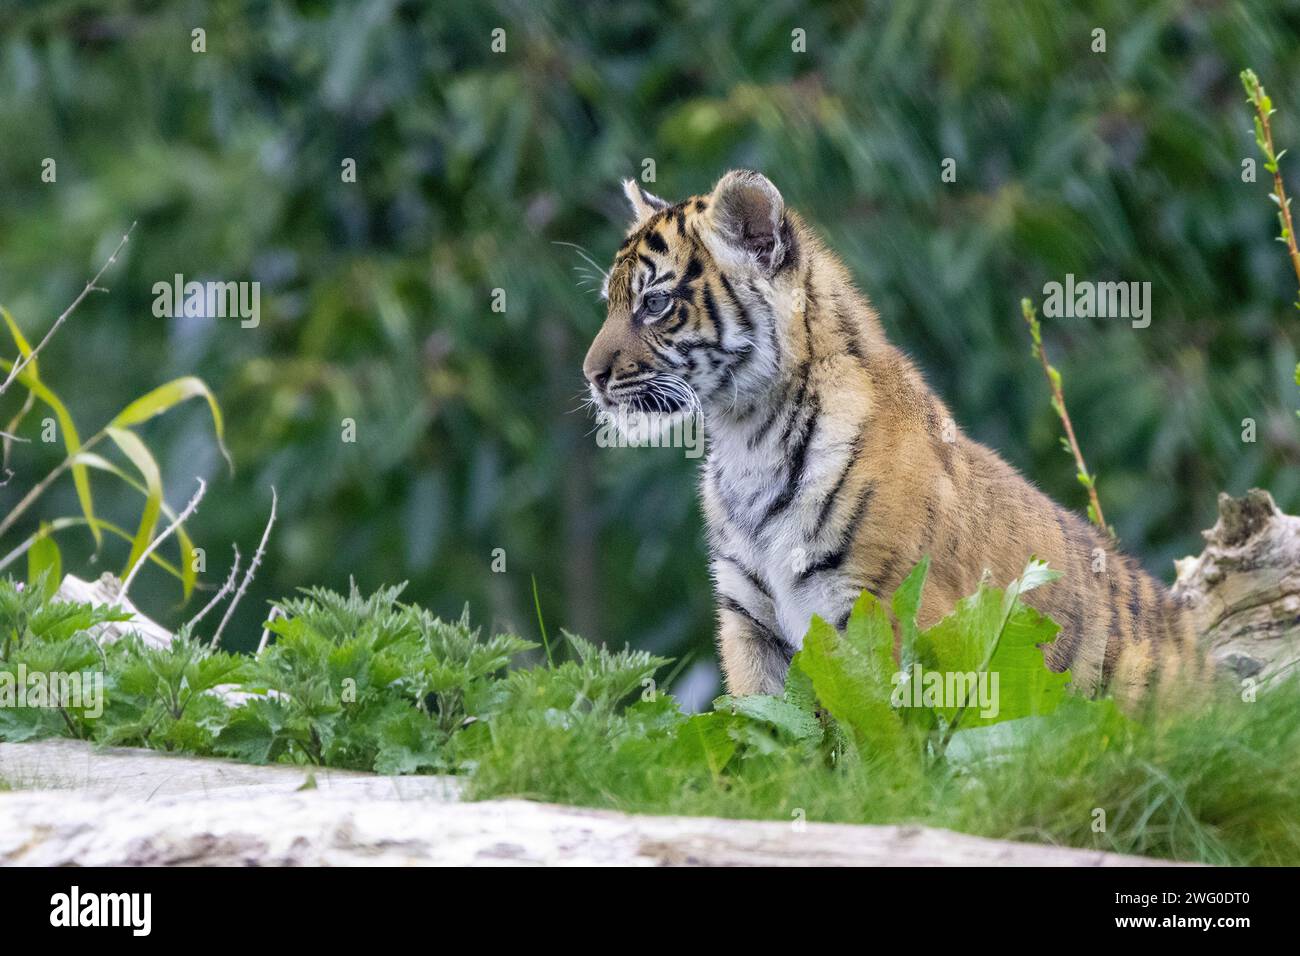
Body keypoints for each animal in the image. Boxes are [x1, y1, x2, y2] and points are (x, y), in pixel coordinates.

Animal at [582, 169, 1193, 697]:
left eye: (655, 302)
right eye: (610, 302)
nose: (591, 376)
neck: (746, 433)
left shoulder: (886, 609)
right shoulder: (750, 621)